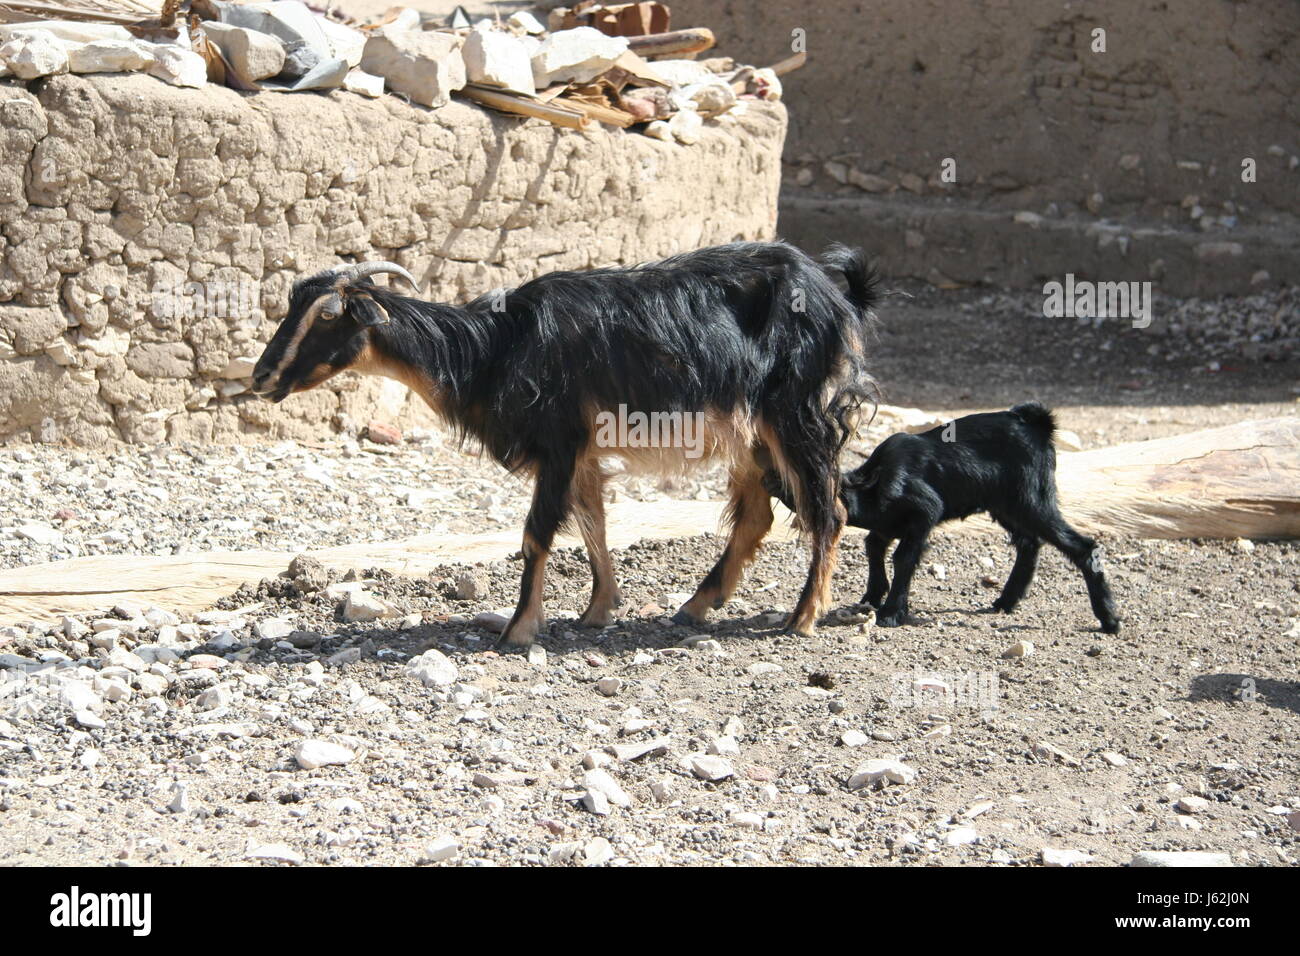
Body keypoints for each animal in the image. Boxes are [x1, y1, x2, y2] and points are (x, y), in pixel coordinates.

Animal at [251, 242, 879, 647]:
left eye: (330, 314)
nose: (260, 377)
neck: (492, 346)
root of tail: (831, 291)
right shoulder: (582, 452)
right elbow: (593, 525)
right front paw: (597, 611)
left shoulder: (558, 441)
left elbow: (536, 534)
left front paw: (518, 629)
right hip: (751, 431)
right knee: (756, 516)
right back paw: (699, 604)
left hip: (793, 411)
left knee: (829, 509)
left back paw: (803, 617)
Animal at [764, 403, 1121, 633]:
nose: (769, 473)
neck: (875, 484)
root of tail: (1037, 423)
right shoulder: (887, 524)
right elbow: (873, 546)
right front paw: (873, 596)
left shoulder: (925, 510)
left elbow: (903, 555)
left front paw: (892, 612)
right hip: (1005, 504)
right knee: (1029, 543)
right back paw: (1006, 601)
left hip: (1031, 499)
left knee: (1080, 546)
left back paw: (1109, 619)